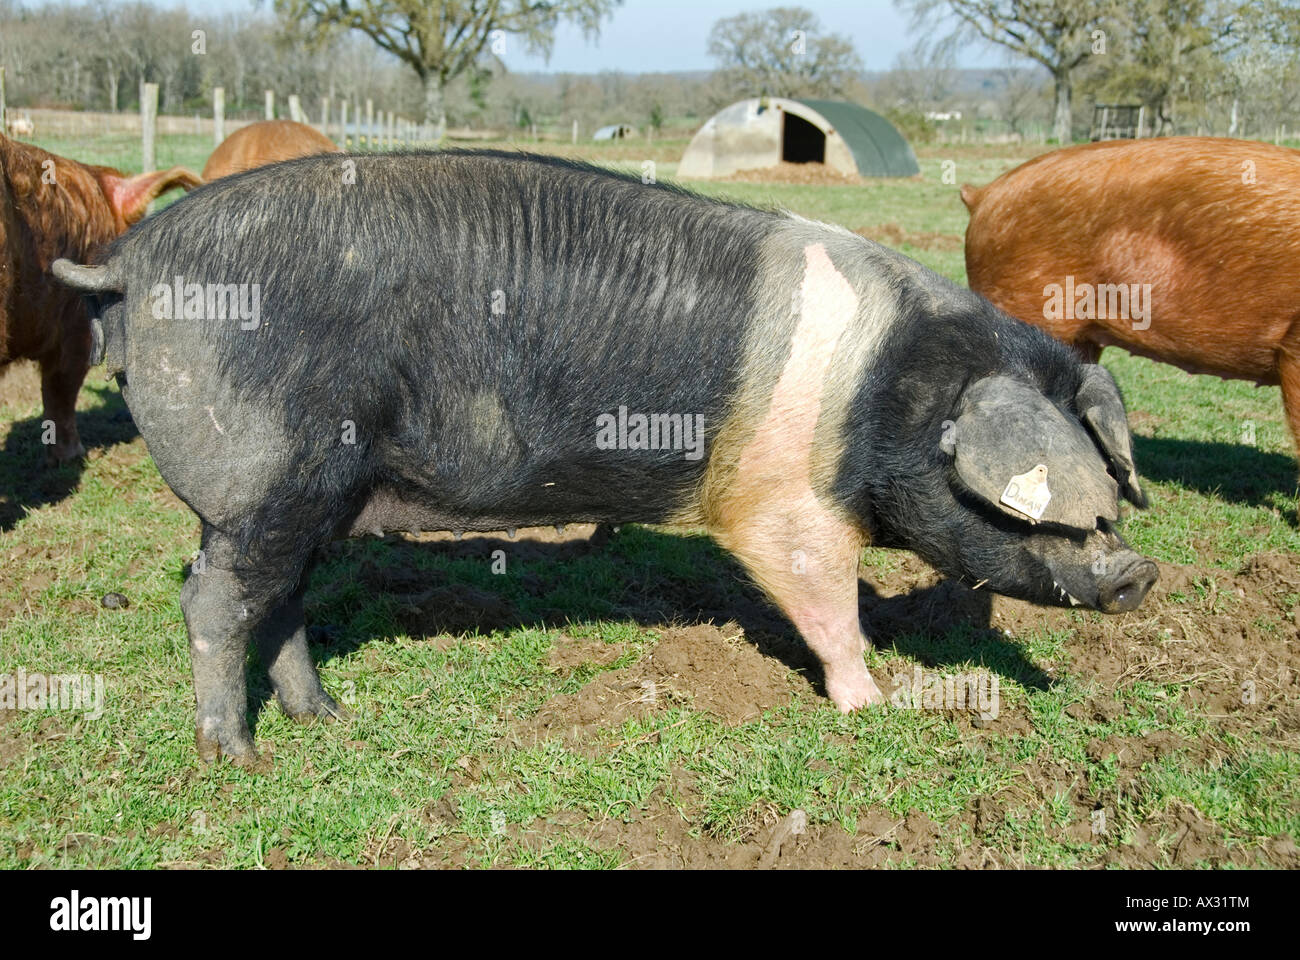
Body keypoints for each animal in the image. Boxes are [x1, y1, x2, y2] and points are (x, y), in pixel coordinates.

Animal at [53, 150, 1157, 764]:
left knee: (275, 604)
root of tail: (131, 260)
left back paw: (325, 718)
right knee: (210, 601)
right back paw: (238, 758)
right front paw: (875, 706)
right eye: (1031, 502)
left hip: (307, 501)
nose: (1138, 572)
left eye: (1109, 490)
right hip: (264, 484)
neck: (888, 399)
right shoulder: (778, 506)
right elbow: (823, 600)